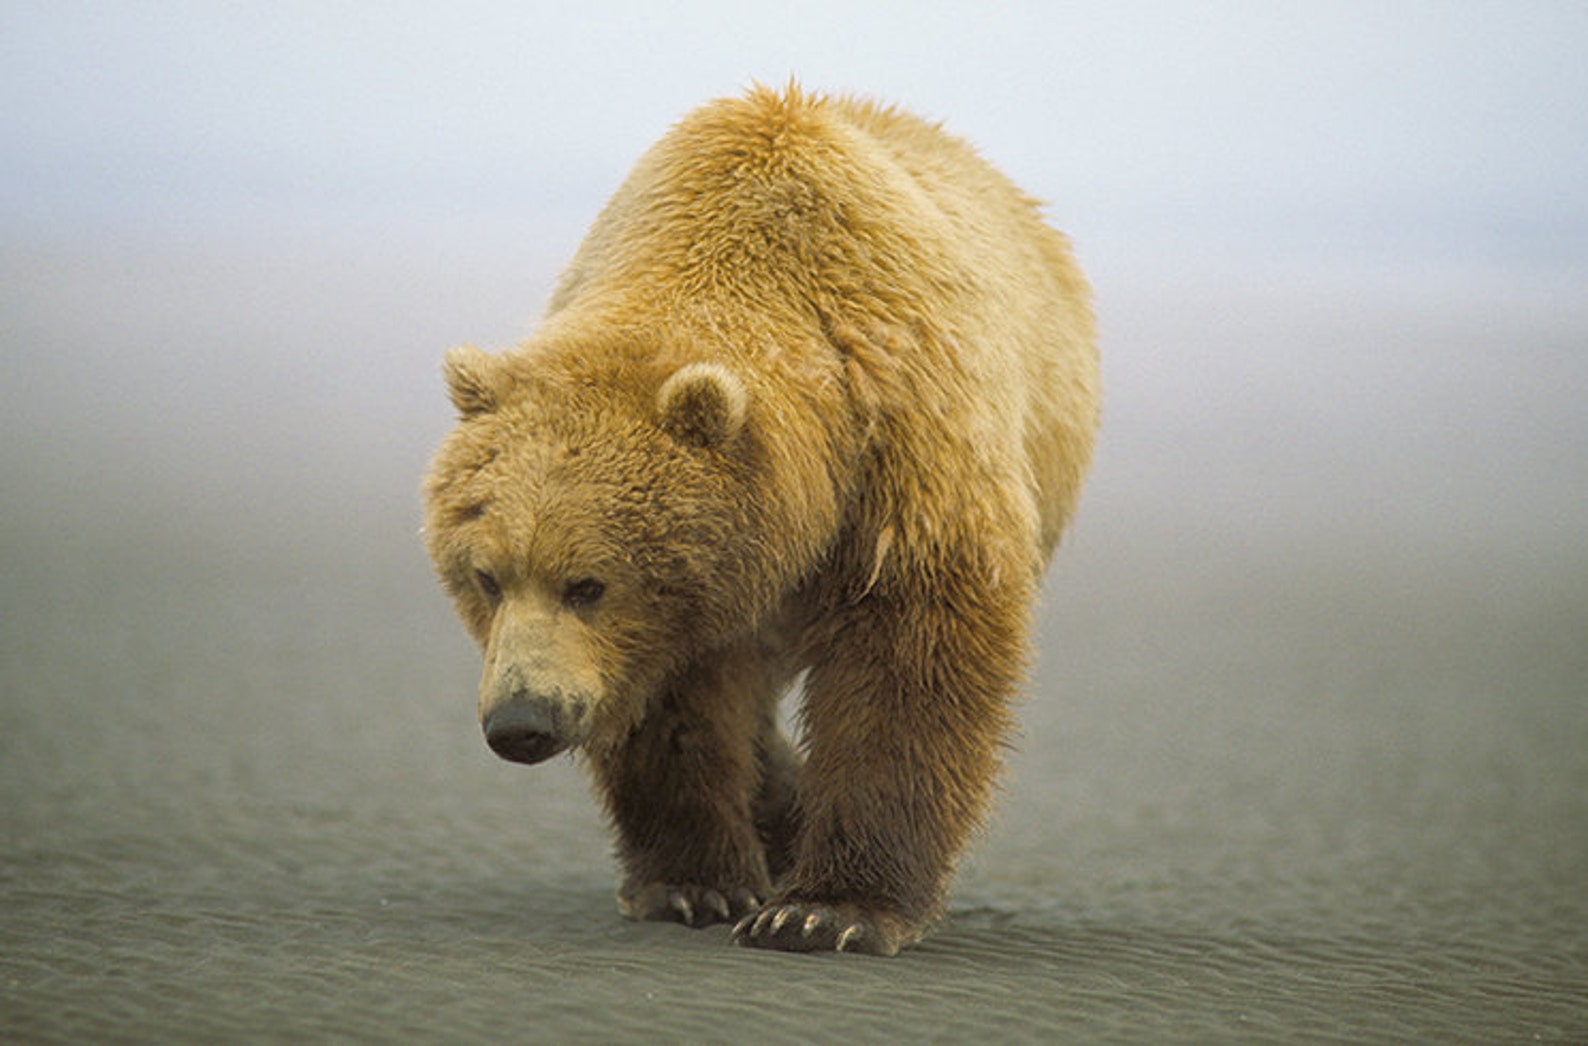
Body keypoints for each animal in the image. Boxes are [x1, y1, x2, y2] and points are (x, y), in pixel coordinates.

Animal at [423, 85, 1099, 956]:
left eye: (587, 583)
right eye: (486, 575)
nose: (521, 720)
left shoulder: (899, 448)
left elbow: (911, 656)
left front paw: (829, 909)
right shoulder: (684, 605)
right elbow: (674, 709)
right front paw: (696, 883)